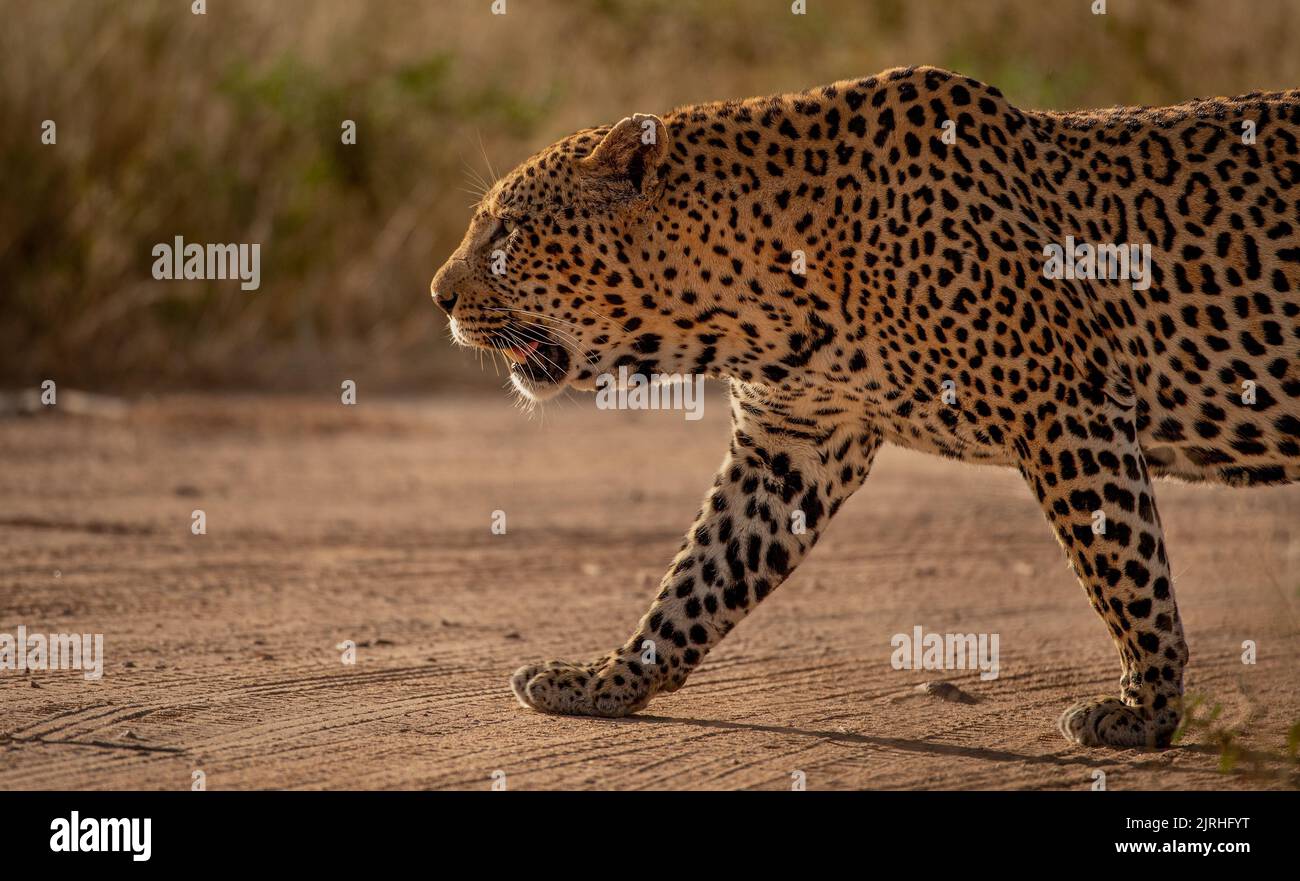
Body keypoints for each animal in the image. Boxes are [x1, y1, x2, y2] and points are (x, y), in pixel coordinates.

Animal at [430, 66, 1300, 748]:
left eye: (507, 230)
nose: (438, 296)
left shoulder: (1067, 406)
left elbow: (1124, 567)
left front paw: (1145, 711)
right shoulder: (792, 441)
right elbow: (698, 578)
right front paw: (602, 682)